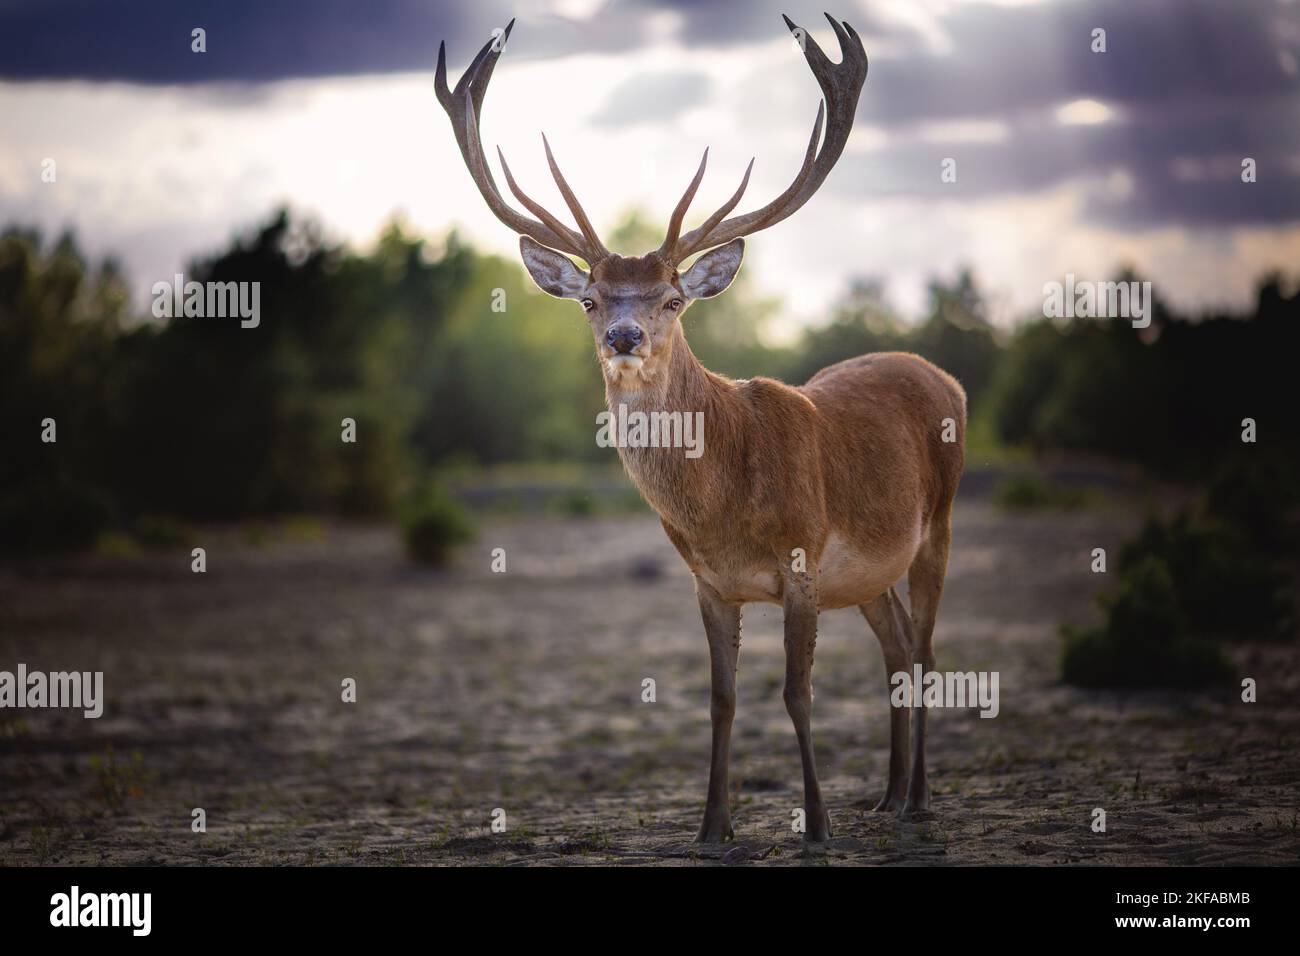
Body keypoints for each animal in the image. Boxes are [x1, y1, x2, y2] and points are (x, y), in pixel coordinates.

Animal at [436, 13, 965, 843]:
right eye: (590, 299)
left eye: (672, 299)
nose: (624, 336)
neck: (723, 506)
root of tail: (948, 378)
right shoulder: (709, 583)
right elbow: (721, 700)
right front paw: (713, 825)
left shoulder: (802, 559)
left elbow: (796, 694)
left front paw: (816, 824)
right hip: (869, 573)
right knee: (899, 646)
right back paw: (886, 795)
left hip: (937, 522)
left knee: (928, 653)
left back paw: (916, 799)